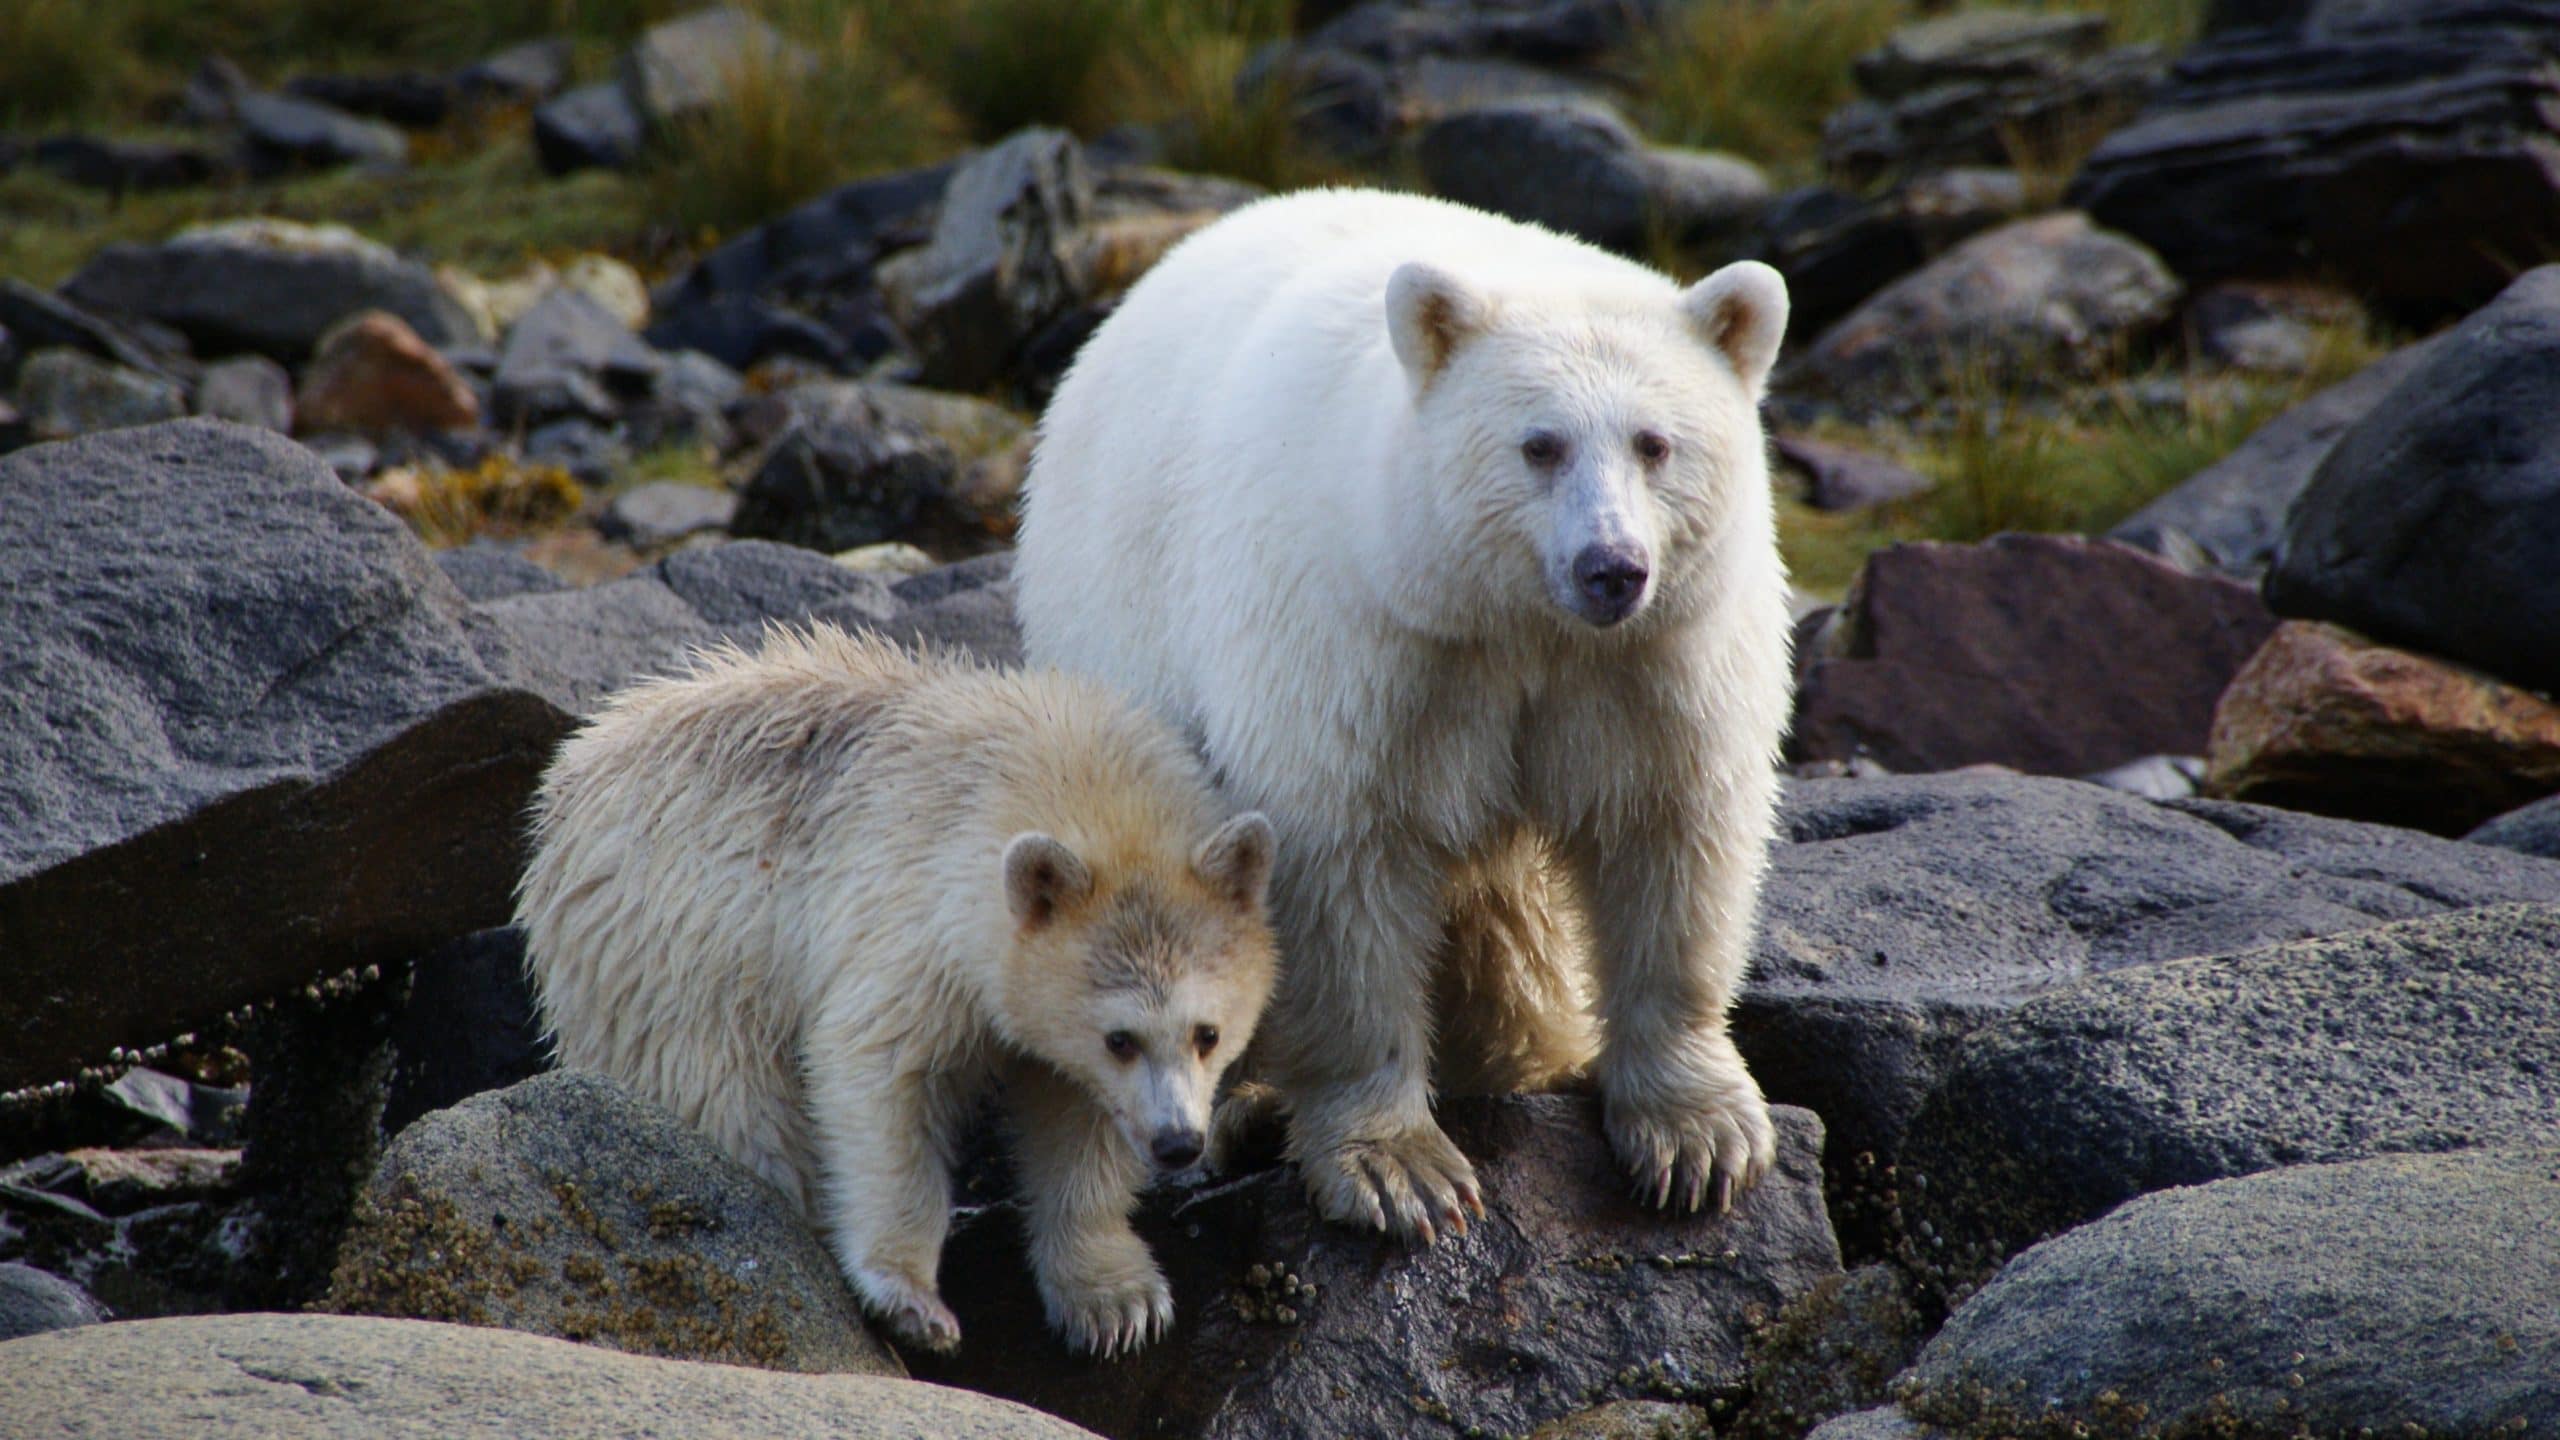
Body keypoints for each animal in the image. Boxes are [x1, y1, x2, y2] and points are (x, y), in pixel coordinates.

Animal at [516, 624, 1279, 1357]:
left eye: (1207, 1033)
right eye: (1120, 1039)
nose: (1178, 1143)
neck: (1045, 765)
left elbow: (1079, 1120)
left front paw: (1117, 1302)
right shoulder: (912, 918)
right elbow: (881, 1075)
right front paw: (911, 1299)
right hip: (671, 956)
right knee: (732, 1099)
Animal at [1013, 188, 1793, 1243]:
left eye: (1655, 443)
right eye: (1539, 445)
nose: (1612, 567)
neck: (1514, 622)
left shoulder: (1653, 662)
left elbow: (1673, 837)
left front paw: (1699, 1137)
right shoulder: (1369, 641)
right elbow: (1341, 861)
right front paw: (1399, 1169)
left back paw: (1526, 1045)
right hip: (1118, 627)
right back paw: (1244, 1105)